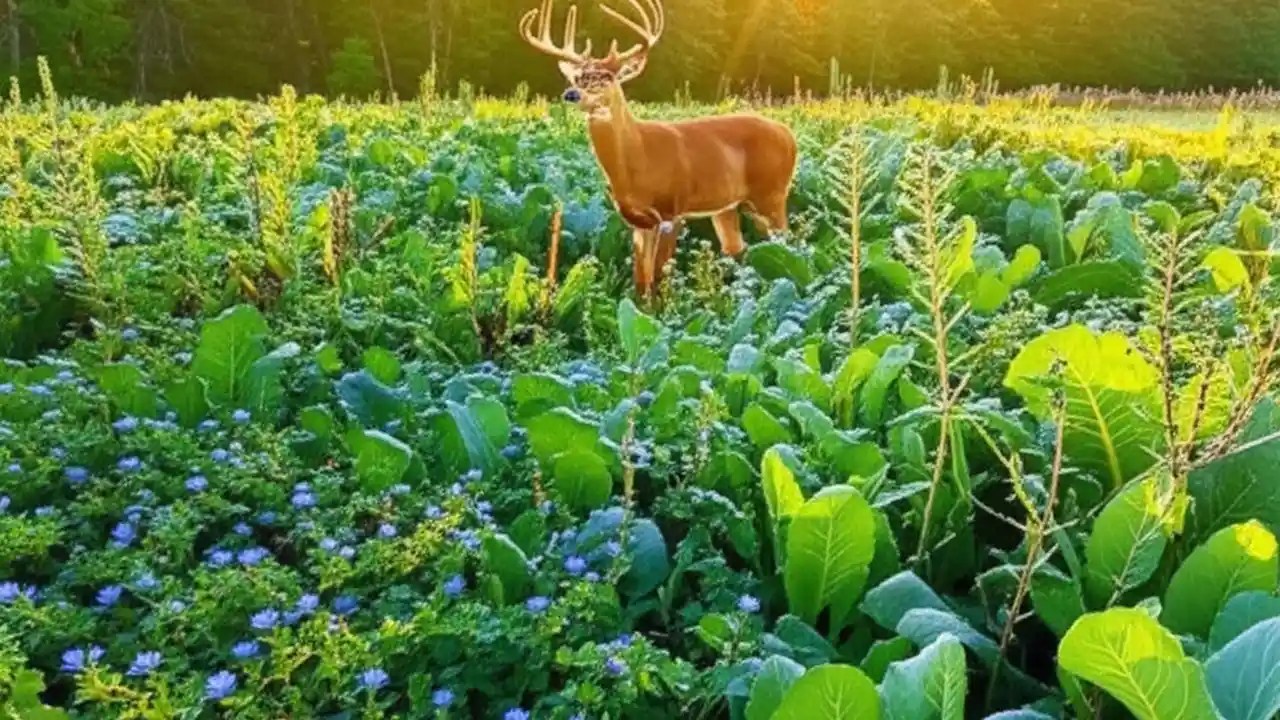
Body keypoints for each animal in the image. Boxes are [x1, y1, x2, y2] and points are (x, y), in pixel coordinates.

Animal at [518, 0, 799, 298]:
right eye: (579, 77)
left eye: (607, 77)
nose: (571, 94)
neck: (637, 159)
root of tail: (789, 135)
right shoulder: (637, 220)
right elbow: (642, 281)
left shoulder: (670, 211)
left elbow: (660, 276)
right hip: (727, 206)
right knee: (737, 248)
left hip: (772, 193)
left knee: (790, 244)